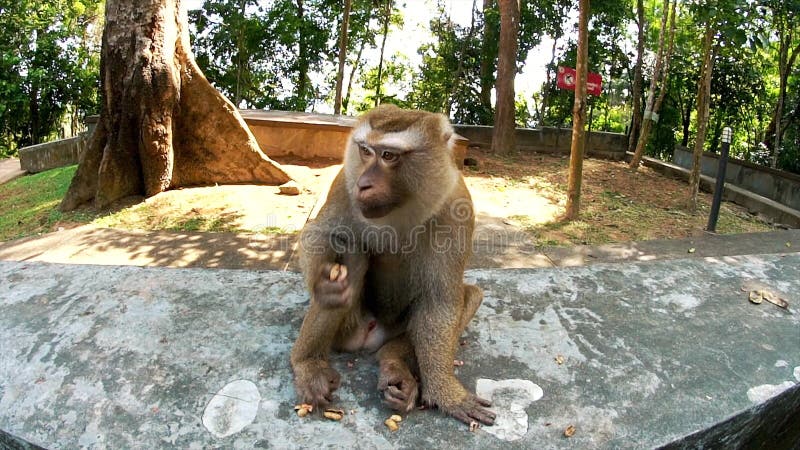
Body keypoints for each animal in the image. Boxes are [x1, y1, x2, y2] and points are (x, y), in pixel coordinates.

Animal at [290, 104, 495, 426]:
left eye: (388, 155)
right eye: (365, 151)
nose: (363, 184)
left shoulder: (456, 206)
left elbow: (440, 302)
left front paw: (446, 392)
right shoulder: (344, 181)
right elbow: (318, 233)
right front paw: (325, 284)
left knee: (470, 296)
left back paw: (394, 364)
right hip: (348, 327)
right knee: (354, 253)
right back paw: (307, 364)